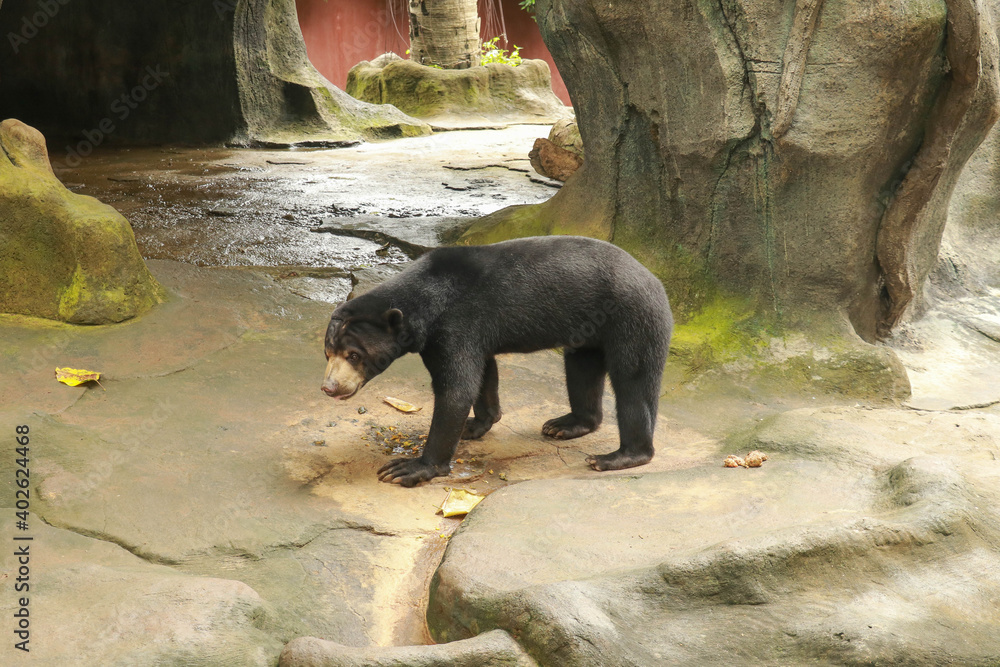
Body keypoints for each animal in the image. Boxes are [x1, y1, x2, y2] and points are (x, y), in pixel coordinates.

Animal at [322, 235, 673, 487]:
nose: (329, 387)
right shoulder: (464, 335)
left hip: (631, 317)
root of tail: (655, 280)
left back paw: (617, 457)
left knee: (633, 382)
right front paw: (476, 424)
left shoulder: (455, 322)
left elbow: (457, 388)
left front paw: (410, 468)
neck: (425, 301)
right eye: (328, 353)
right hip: (590, 330)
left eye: (354, 355)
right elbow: (483, 374)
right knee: (581, 369)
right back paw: (565, 424)